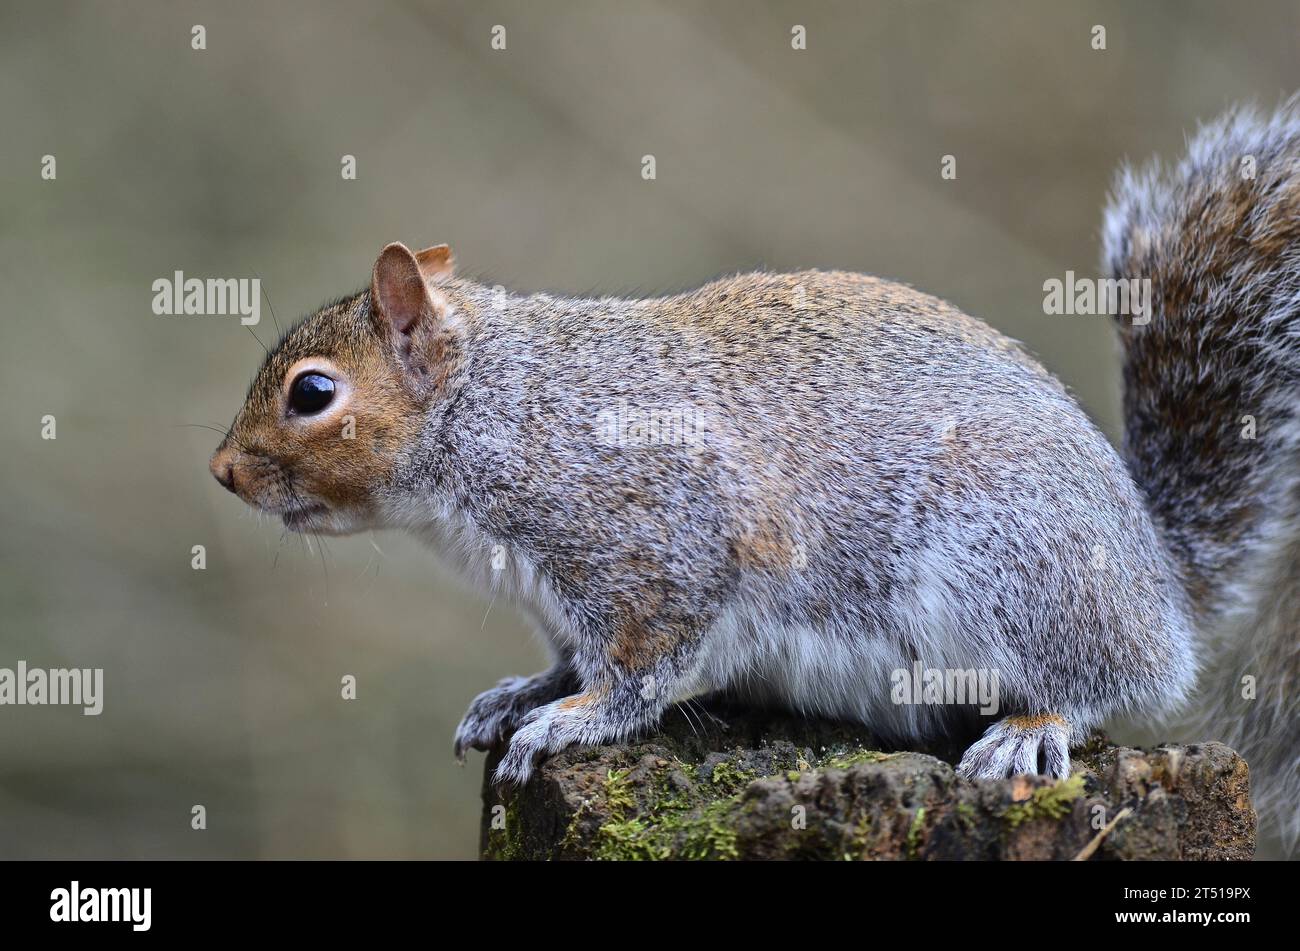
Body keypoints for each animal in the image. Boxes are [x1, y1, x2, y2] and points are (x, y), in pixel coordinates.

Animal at [211, 101, 1297, 850]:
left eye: (313, 393)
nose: (221, 472)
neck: (498, 413)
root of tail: (1158, 581)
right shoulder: (562, 595)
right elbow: (568, 654)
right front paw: (524, 692)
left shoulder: (654, 543)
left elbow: (644, 666)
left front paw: (570, 721)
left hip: (1010, 563)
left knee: (1097, 676)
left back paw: (1029, 726)